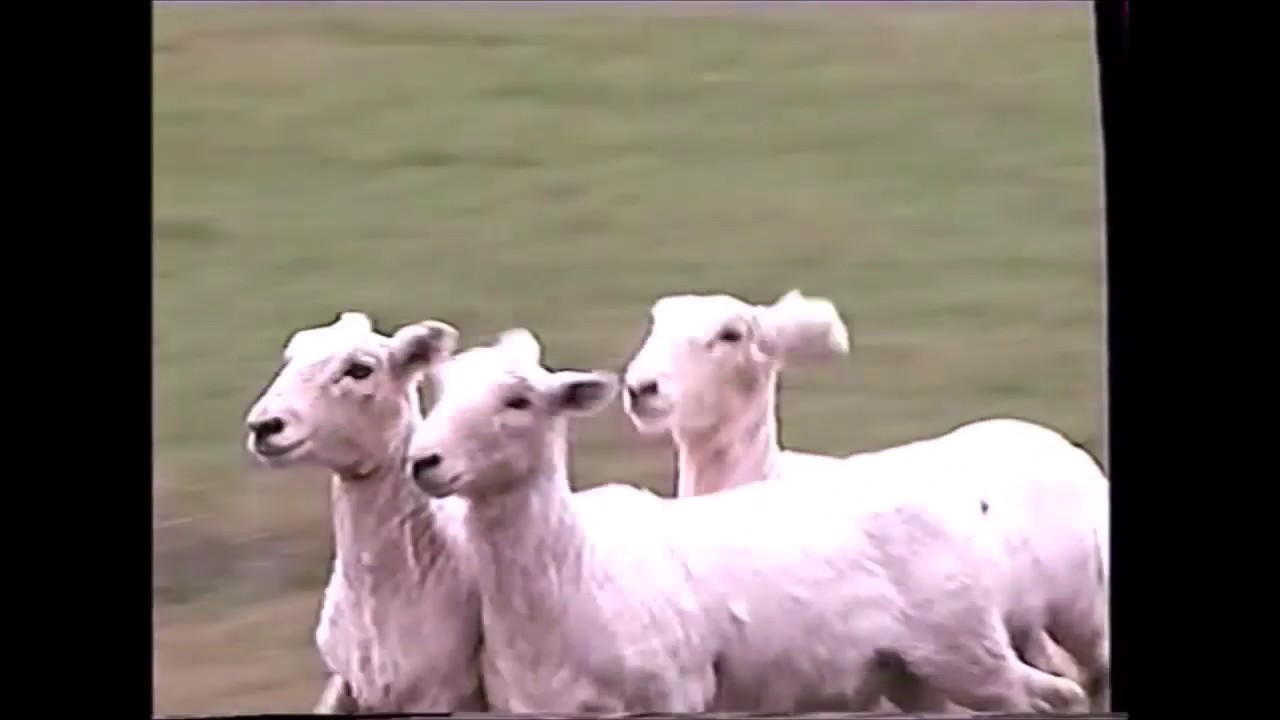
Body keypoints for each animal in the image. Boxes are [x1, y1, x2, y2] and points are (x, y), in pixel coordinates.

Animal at [402, 325, 1087, 714]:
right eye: (437, 393)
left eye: (518, 401)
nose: (423, 461)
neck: (576, 573)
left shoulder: (674, 698)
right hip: (914, 674)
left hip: (969, 651)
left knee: (1055, 696)